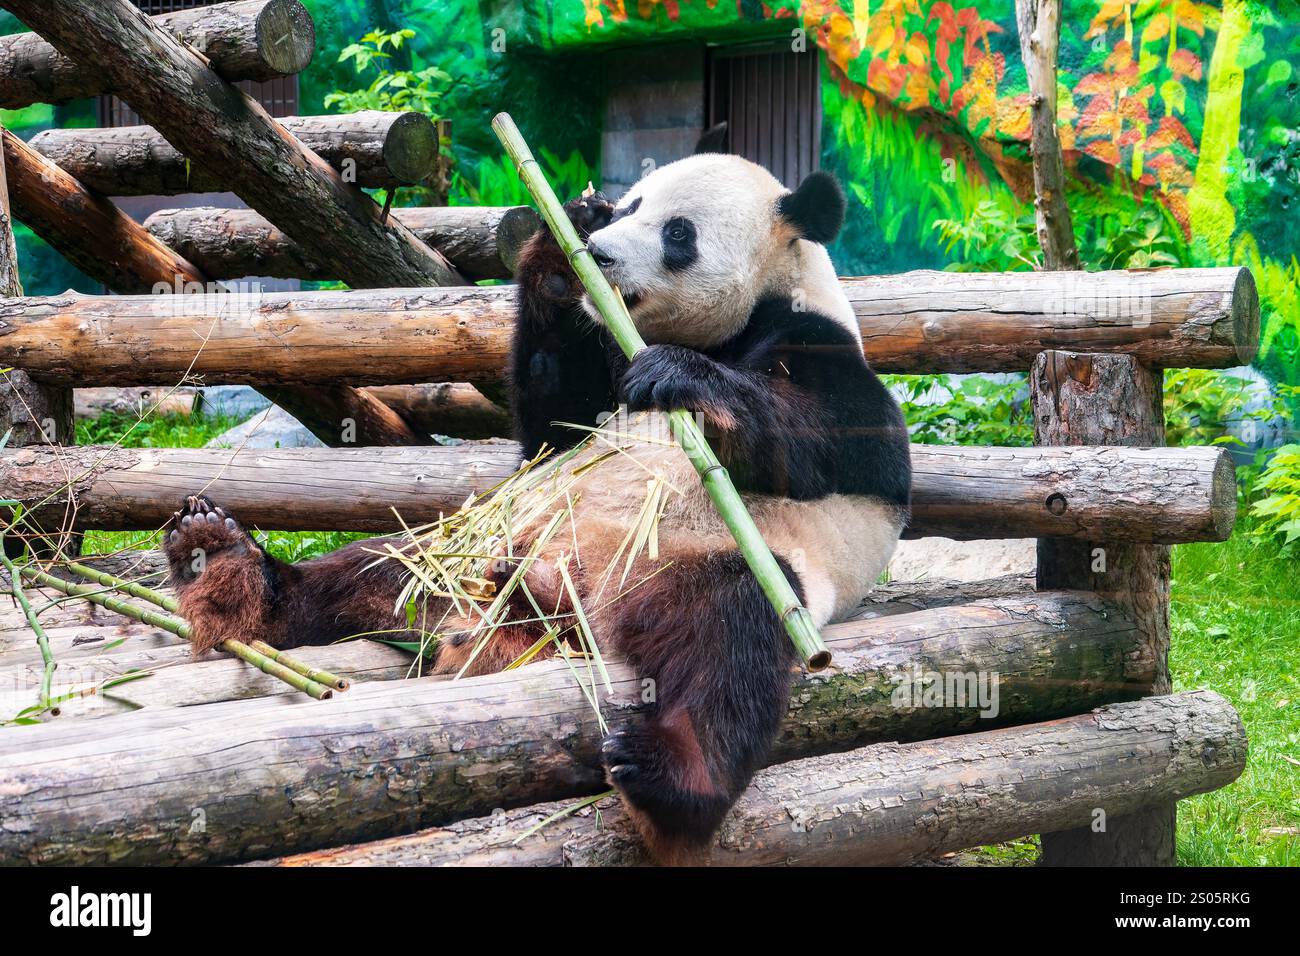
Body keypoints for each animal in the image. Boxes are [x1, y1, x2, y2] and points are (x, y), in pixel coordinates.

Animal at [163, 137, 911, 863]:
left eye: (678, 233)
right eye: (628, 206)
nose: (602, 254)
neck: (740, 320)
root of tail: (551, 614)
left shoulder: (816, 346)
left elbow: (843, 441)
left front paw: (683, 378)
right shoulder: (592, 373)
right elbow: (553, 425)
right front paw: (560, 241)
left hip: (707, 565)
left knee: (729, 638)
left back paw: (669, 776)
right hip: (470, 549)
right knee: (375, 567)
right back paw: (225, 564)